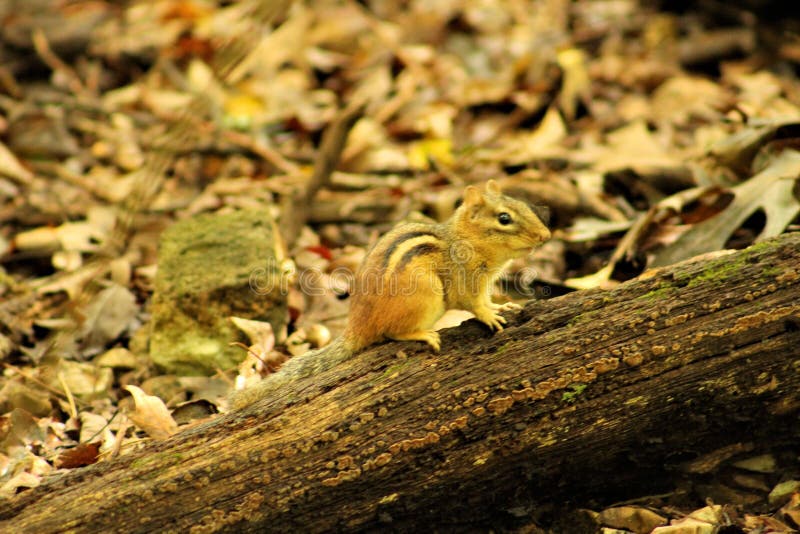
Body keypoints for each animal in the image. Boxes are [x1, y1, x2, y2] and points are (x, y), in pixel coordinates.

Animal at [230, 179, 551, 409]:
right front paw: (489, 315)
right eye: (504, 218)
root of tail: (357, 326)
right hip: (425, 296)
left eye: (523, 205)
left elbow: (486, 300)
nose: (545, 236)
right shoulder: (465, 280)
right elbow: (473, 304)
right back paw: (422, 334)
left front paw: (502, 307)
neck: (464, 240)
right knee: (391, 332)